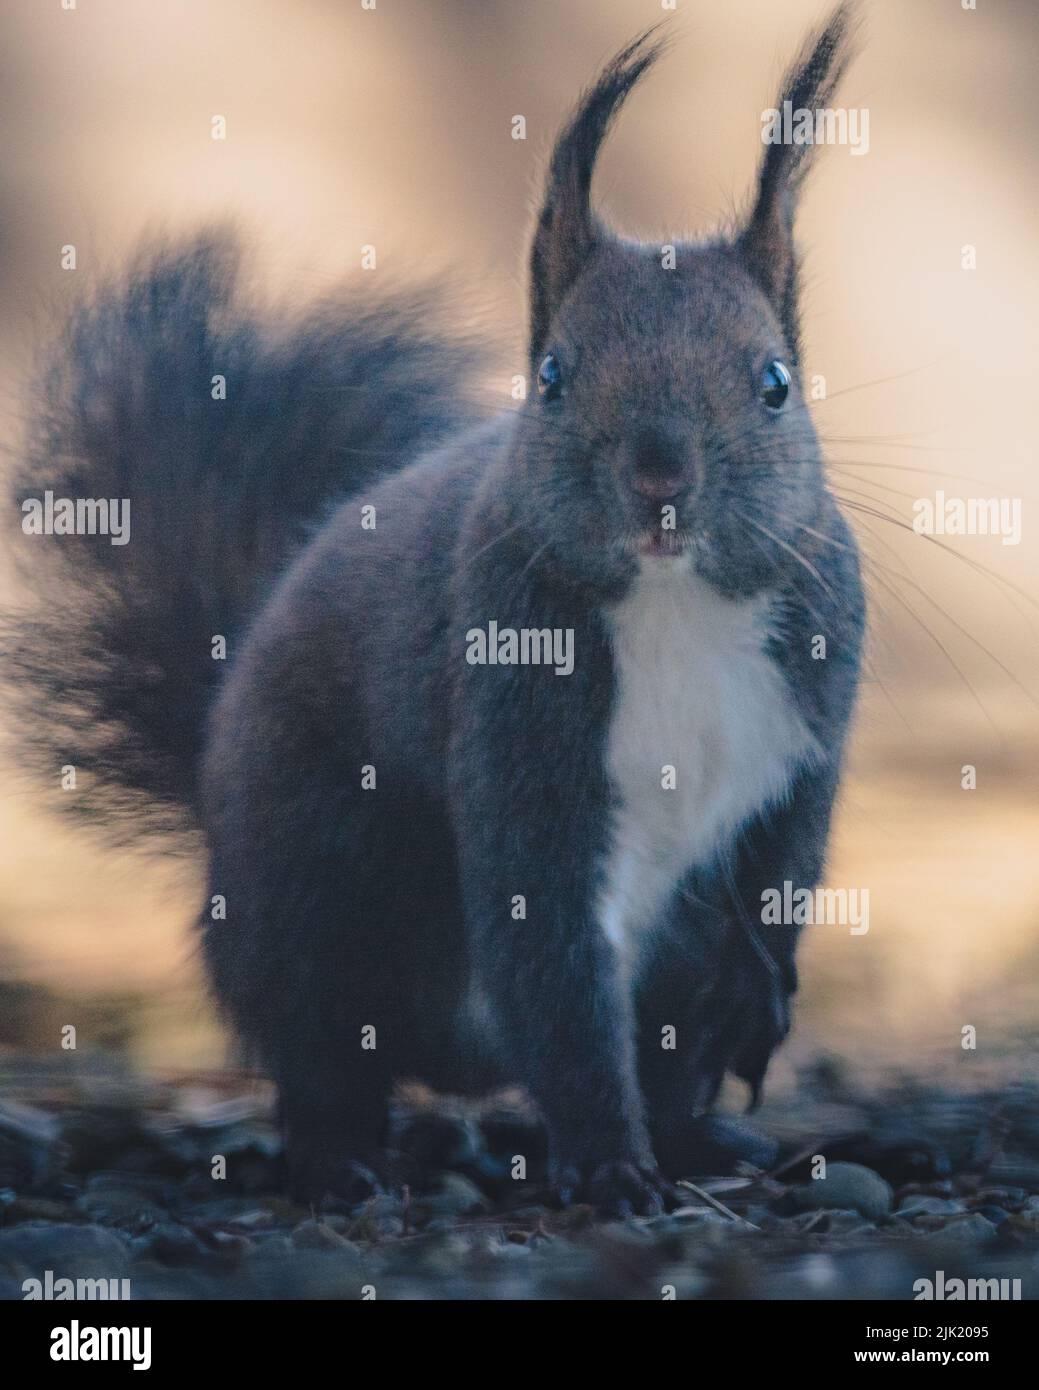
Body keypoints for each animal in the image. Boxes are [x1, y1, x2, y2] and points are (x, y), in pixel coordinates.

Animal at [6, 7, 865, 1216]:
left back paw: (701, 1139)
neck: (673, 604)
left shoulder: (810, 715)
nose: (660, 479)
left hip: (661, 944)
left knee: (671, 1046)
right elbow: (552, 956)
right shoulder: (515, 732)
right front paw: (609, 1167)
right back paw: (346, 1160)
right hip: (312, 891)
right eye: (552, 376)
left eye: (776, 381)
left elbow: (785, 864)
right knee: (327, 1054)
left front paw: (760, 1005)